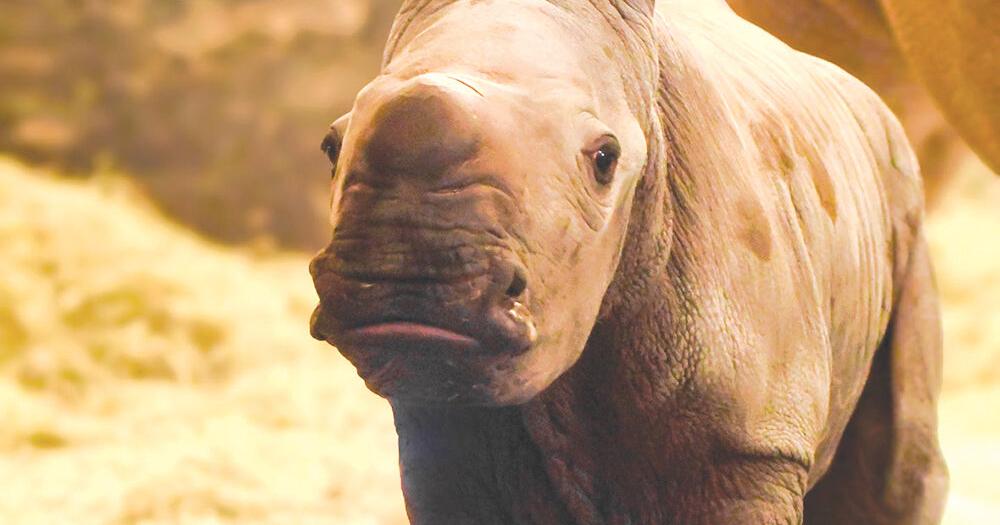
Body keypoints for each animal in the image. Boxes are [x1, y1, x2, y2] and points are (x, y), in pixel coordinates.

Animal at [309, 1, 947, 523]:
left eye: (604, 159)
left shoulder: (753, 442)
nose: (408, 271)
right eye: (330, 146)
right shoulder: (440, 433)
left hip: (901, 190)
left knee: (899, 480)